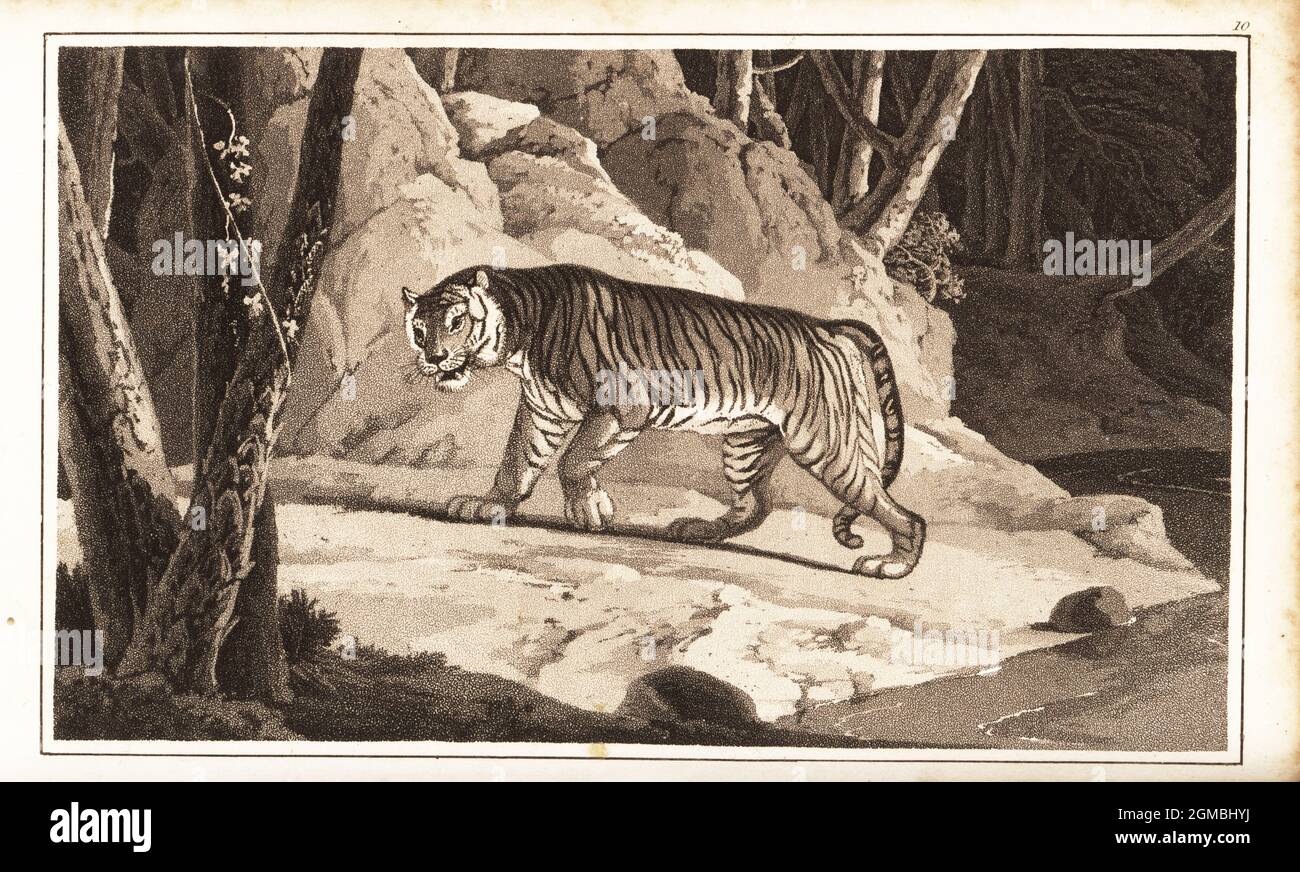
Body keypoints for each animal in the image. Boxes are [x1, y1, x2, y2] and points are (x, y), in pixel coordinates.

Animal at [401, 264, 925, 579]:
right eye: (419, 328)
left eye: (457, 321)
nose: (435, 357)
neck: (522, 328)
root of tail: (828, 325)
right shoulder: (543, 411)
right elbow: (517, 462)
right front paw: (486, 505)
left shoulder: (619, 408)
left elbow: (574, 461)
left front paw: (591, 510)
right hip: (746, 444)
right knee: (755, 504)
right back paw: (699, 530)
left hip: (828, 446)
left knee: (904, 514)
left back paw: (890, 565)